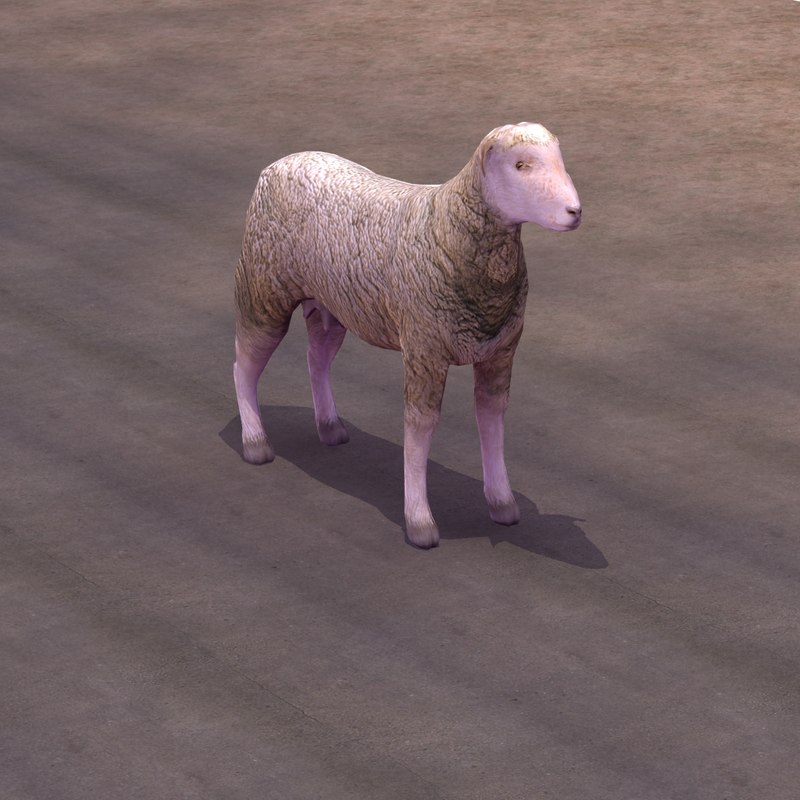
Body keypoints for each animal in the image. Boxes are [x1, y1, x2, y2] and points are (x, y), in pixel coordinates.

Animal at [233, 122, 581, 549]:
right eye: (520, 165)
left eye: (559, 159)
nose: (575, 212)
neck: (449, 228)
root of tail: (281, 162)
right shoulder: (423, 347)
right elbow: (420, 427)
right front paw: (419, 521)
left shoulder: (500, 351)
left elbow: (492, 420)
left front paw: (502, 503)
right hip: (264, 286)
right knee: (244, 362)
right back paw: (255, 442)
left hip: (332, 304)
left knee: (317, 359)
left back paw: (329, 427)